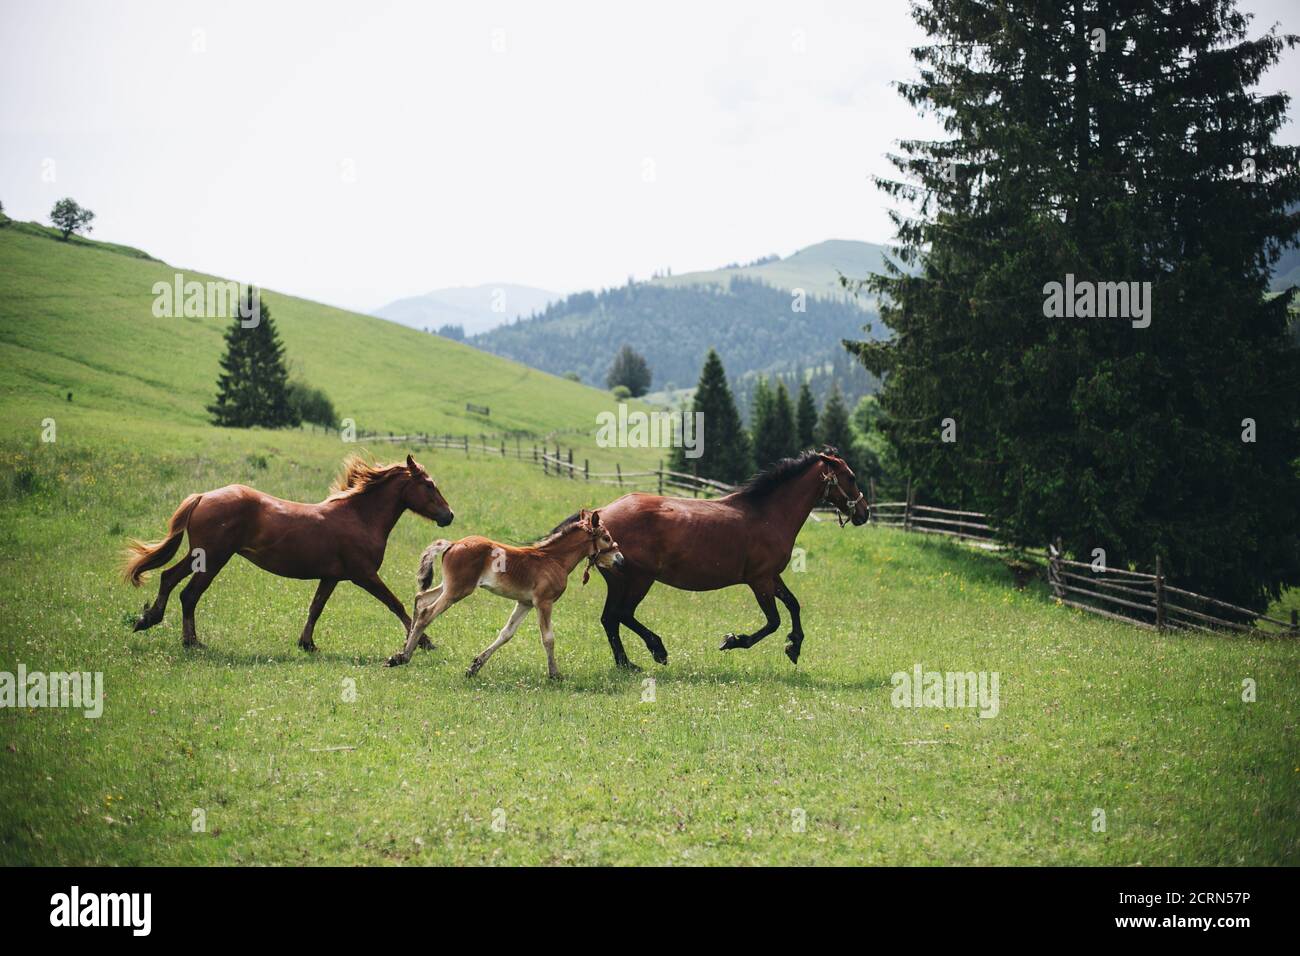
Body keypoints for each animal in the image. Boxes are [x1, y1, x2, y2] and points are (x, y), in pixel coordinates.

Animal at [123, 454, 454, 651]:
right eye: (428, 485)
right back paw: (192, 642)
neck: (360, 517)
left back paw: (148, 619)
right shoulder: (364, 575)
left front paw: (307, 643)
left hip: (200, 555)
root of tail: (203, 496)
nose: (448, 516)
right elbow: (395, 604)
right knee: (189, 594)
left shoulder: (331, 577)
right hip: (214, 558)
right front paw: (424, 641)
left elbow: (315, 608)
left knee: (168, 577)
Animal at [388, 509, 624, 678]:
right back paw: (404, 656)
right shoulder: (543, 602)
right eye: (606, 537)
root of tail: (453, 544)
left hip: (448, 586)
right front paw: (555, 674)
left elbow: (506, 633)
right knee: (427, 612)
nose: (620, 559)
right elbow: (548, 638)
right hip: (457, 590)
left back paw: (402, 652)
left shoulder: (525, 603)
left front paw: (475, 666)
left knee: (420, 599)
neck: (553, 559)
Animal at [593, 448, 867, 669]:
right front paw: (733, 640)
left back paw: (626, 664)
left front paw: (794, 647)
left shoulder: (772, 576)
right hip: (640, 579)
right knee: (622, 614)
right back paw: (657, 650)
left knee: (610, 618)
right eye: (851, 477)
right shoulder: (759, 580)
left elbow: (793, 604)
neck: (769, 515)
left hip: (618, 581)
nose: (864, 513)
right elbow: (774, 621)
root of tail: (602, 513)